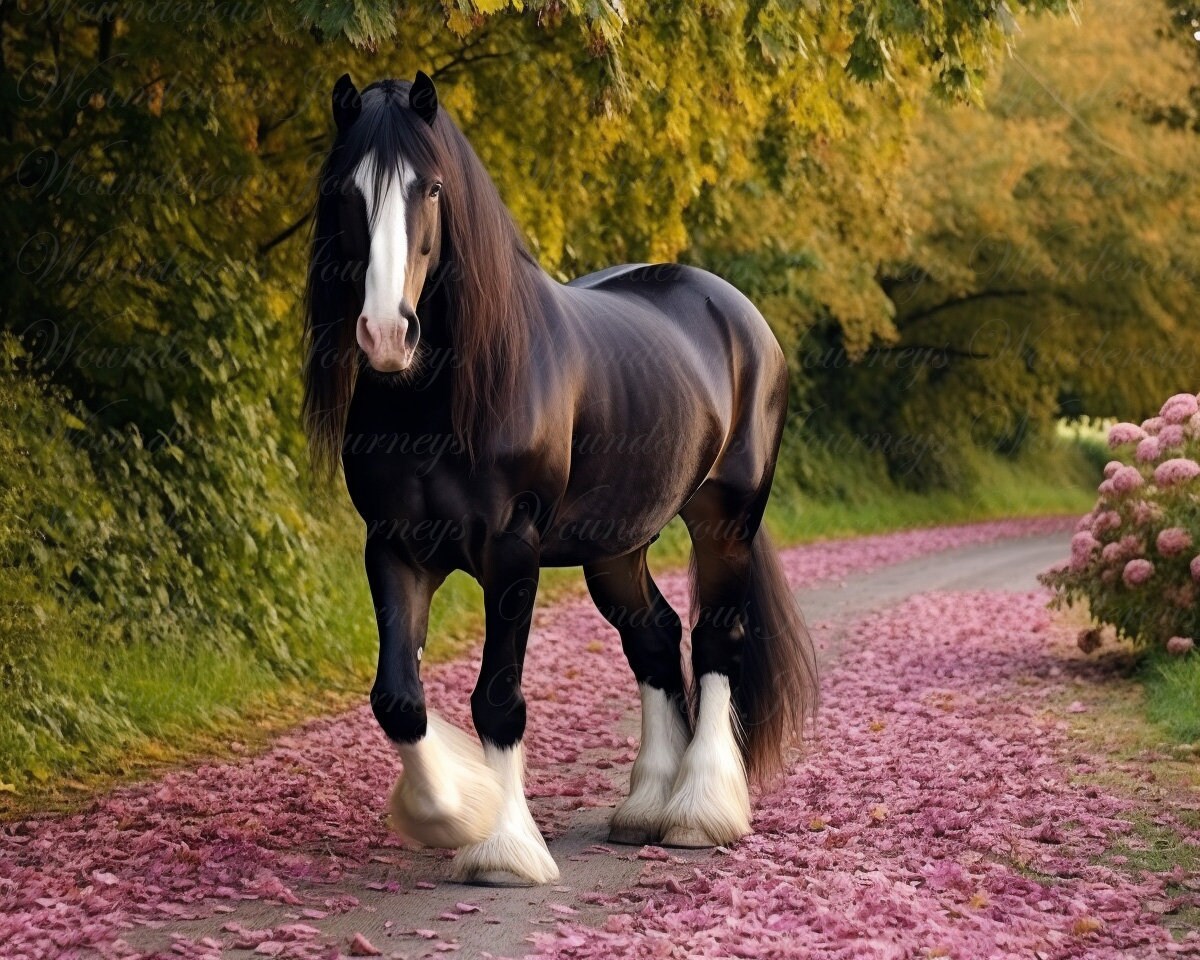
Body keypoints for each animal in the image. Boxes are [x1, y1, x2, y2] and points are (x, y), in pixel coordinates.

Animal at [303, 72, 817, 887]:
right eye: (342, 190)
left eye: (432, 188)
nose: (387, 335)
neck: (442, 397)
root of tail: (737, 312)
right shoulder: (393, 547)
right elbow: (398, 700)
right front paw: (451, 810)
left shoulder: (510, 550)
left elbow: (498, 698)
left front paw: (504, 849)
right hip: (617, 546)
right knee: (654, 635)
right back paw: (645, 807)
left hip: (726, 520)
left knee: (715, 639)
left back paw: (699, 812)